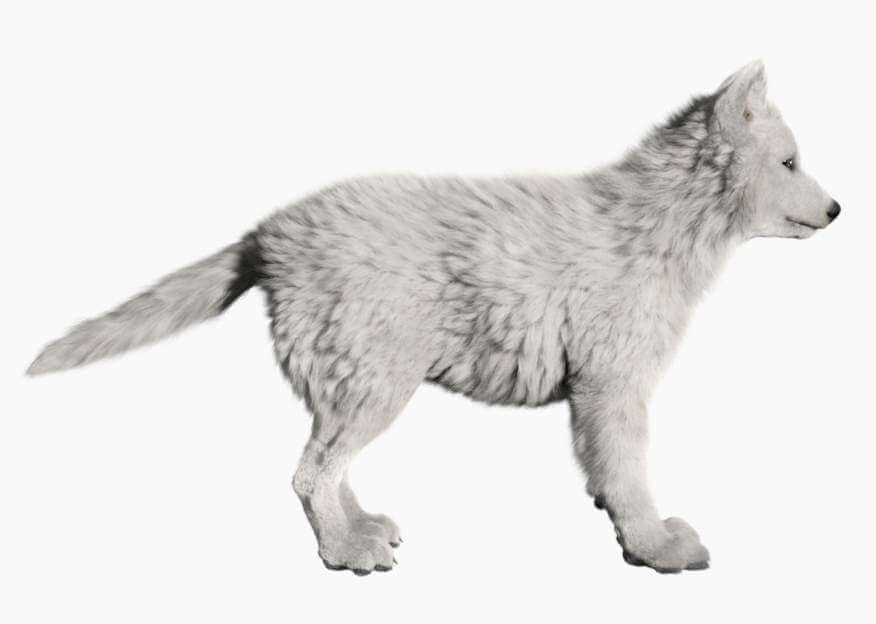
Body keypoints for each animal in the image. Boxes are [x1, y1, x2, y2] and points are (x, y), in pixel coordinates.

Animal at [28, 61, 840, 574]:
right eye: (791, 163)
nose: (837, 210)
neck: (658, 226)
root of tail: (272, 230)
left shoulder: (594, 394)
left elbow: (606, 470)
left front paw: (617, 517)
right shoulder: (613, 385)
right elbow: (633, 472)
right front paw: (653, 547)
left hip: (354, 387)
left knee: (324, 470)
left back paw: (360, 529)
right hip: (375, 384)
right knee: (308, 474)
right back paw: (345, 555)